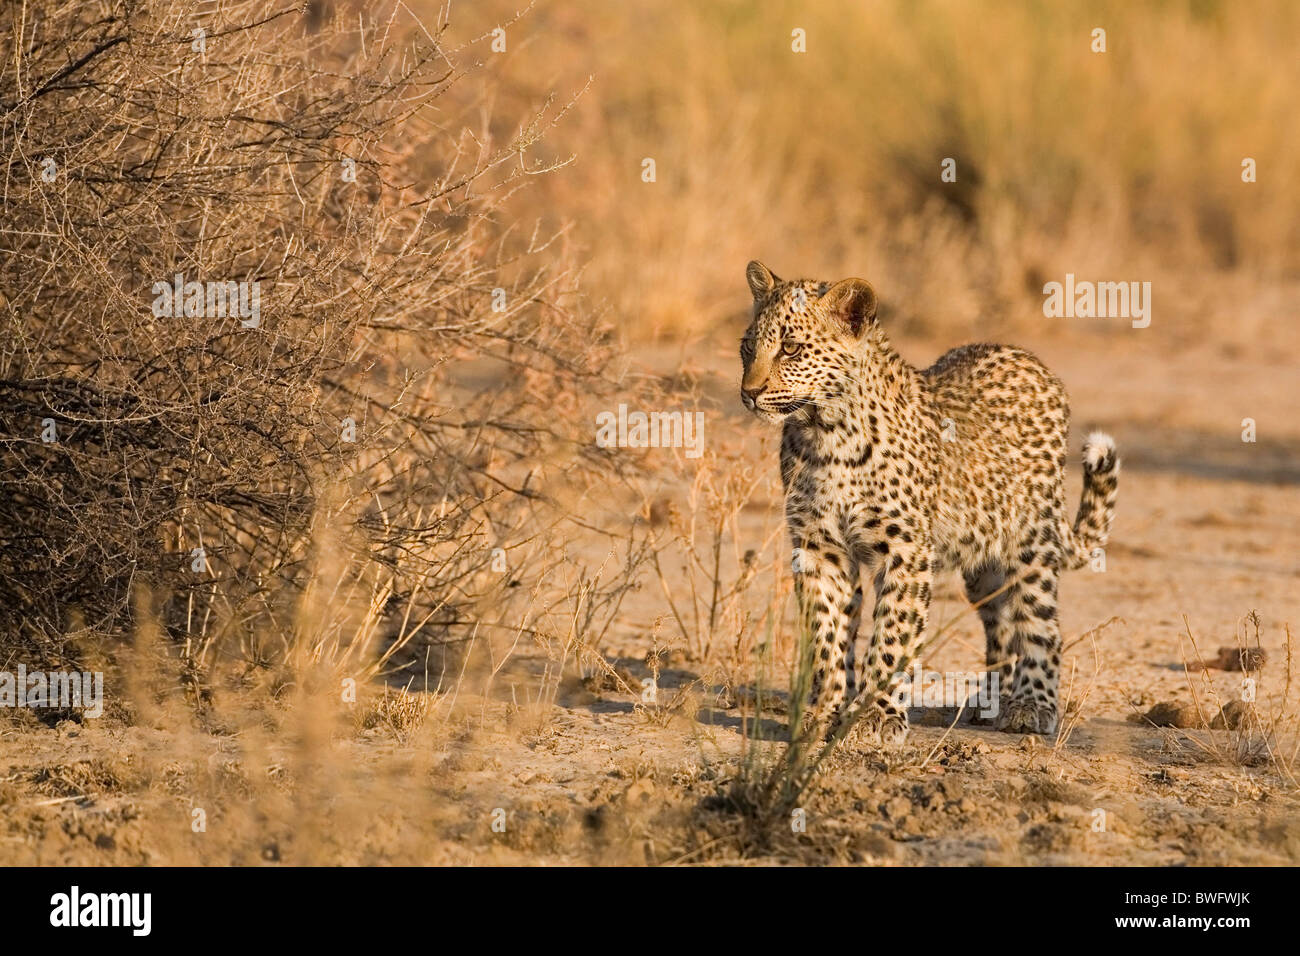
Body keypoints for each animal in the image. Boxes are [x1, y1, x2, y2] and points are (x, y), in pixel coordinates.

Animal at [739, 260, 1119, 746]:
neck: (824, 431)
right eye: (748, 347)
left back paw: (1032, 705)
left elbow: (892, 636)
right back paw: (992, 701)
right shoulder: (818, 547)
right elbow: (826, 636)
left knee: (1040, 624)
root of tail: (1029, 358)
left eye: (790, 348)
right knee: (1002, 623)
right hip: (982, 567)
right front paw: (823, 713)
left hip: (1030, 540)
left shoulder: (904, 550)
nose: (750, 392)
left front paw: (875, 716)